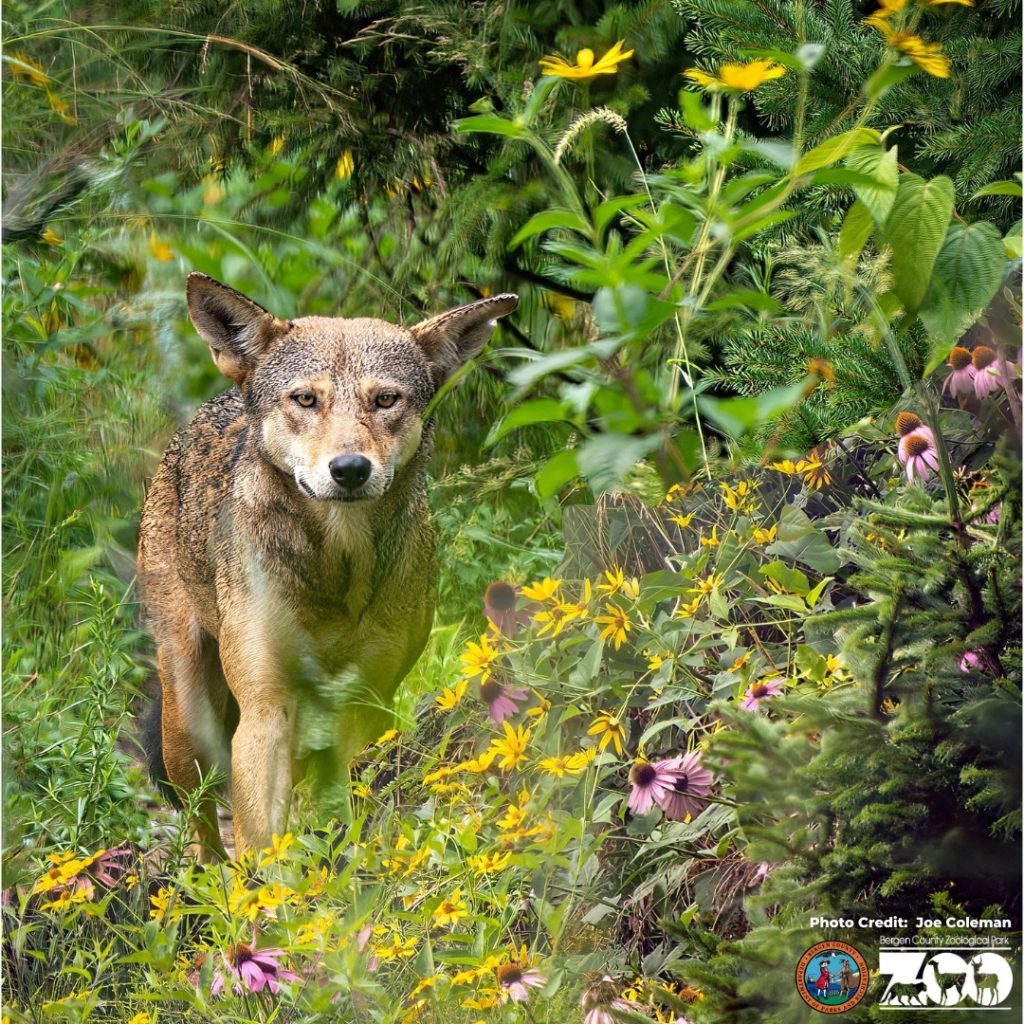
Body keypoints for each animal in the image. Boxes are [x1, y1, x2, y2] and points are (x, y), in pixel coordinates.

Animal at [139, 273, 517, 859]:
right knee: (202, 821)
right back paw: (208, 880)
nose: (350, 469)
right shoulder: (265, 707)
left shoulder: (368, 701)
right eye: (305, 399)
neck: (337, 567)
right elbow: (260, 841)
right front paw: (268, 885)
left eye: (385, 400)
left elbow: (342, 805)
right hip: (188, 717)